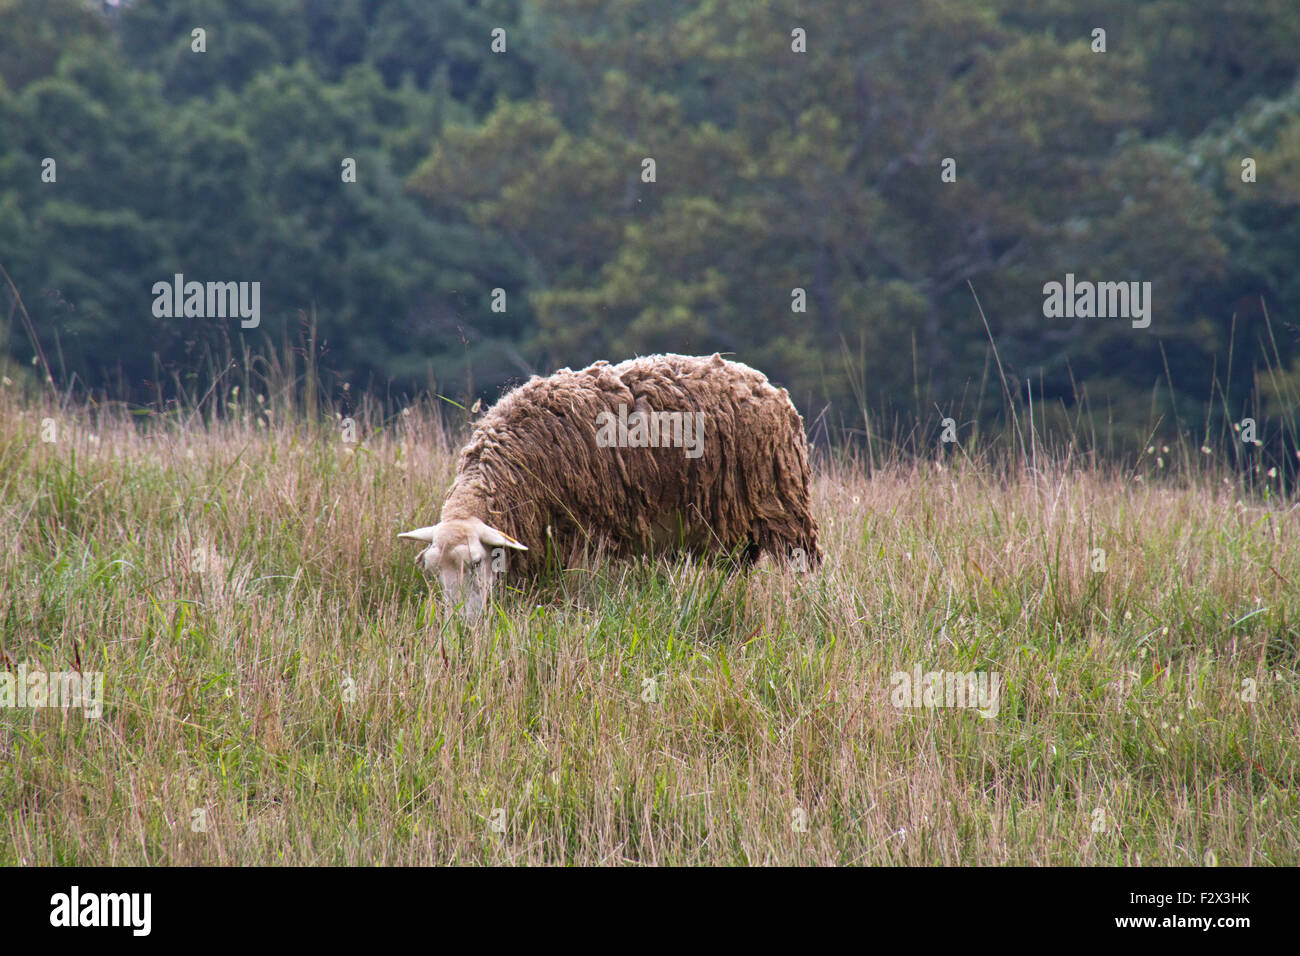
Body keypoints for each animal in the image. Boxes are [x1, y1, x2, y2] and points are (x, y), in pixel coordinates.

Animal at [395, 353, 821, 621]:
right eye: (432, 570)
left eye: (476, 563)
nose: (461, 627)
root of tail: (765, 385)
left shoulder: (580, 535)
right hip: (731, 529)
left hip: (785, 508)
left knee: (803, 566)